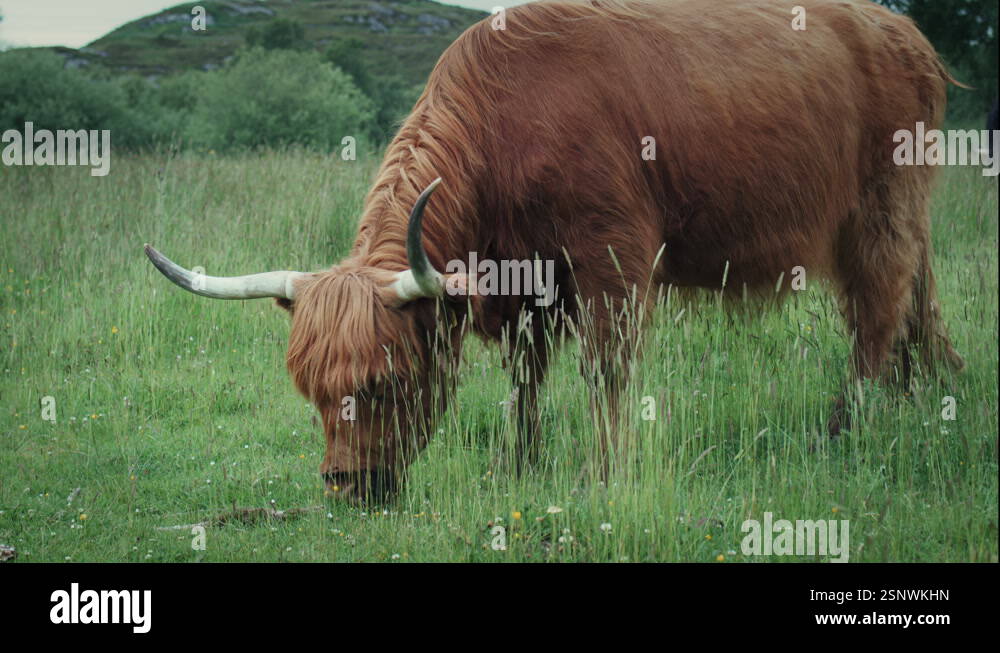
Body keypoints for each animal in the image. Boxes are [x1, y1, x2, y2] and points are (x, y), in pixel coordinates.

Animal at [146, 0, 964, 504]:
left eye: (385, 382)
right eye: (310, 389)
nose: (347, 486)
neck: (503, 130)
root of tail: (902, 30)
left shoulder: (614, 256)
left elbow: (605, 371)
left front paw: (603, 473)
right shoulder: (522, 282)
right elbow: (525, 376)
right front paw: (520, 462)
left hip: (881, 206)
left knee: (879, 306)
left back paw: (844, 426)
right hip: (903, 214)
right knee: (914, 302)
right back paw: (921, 395)